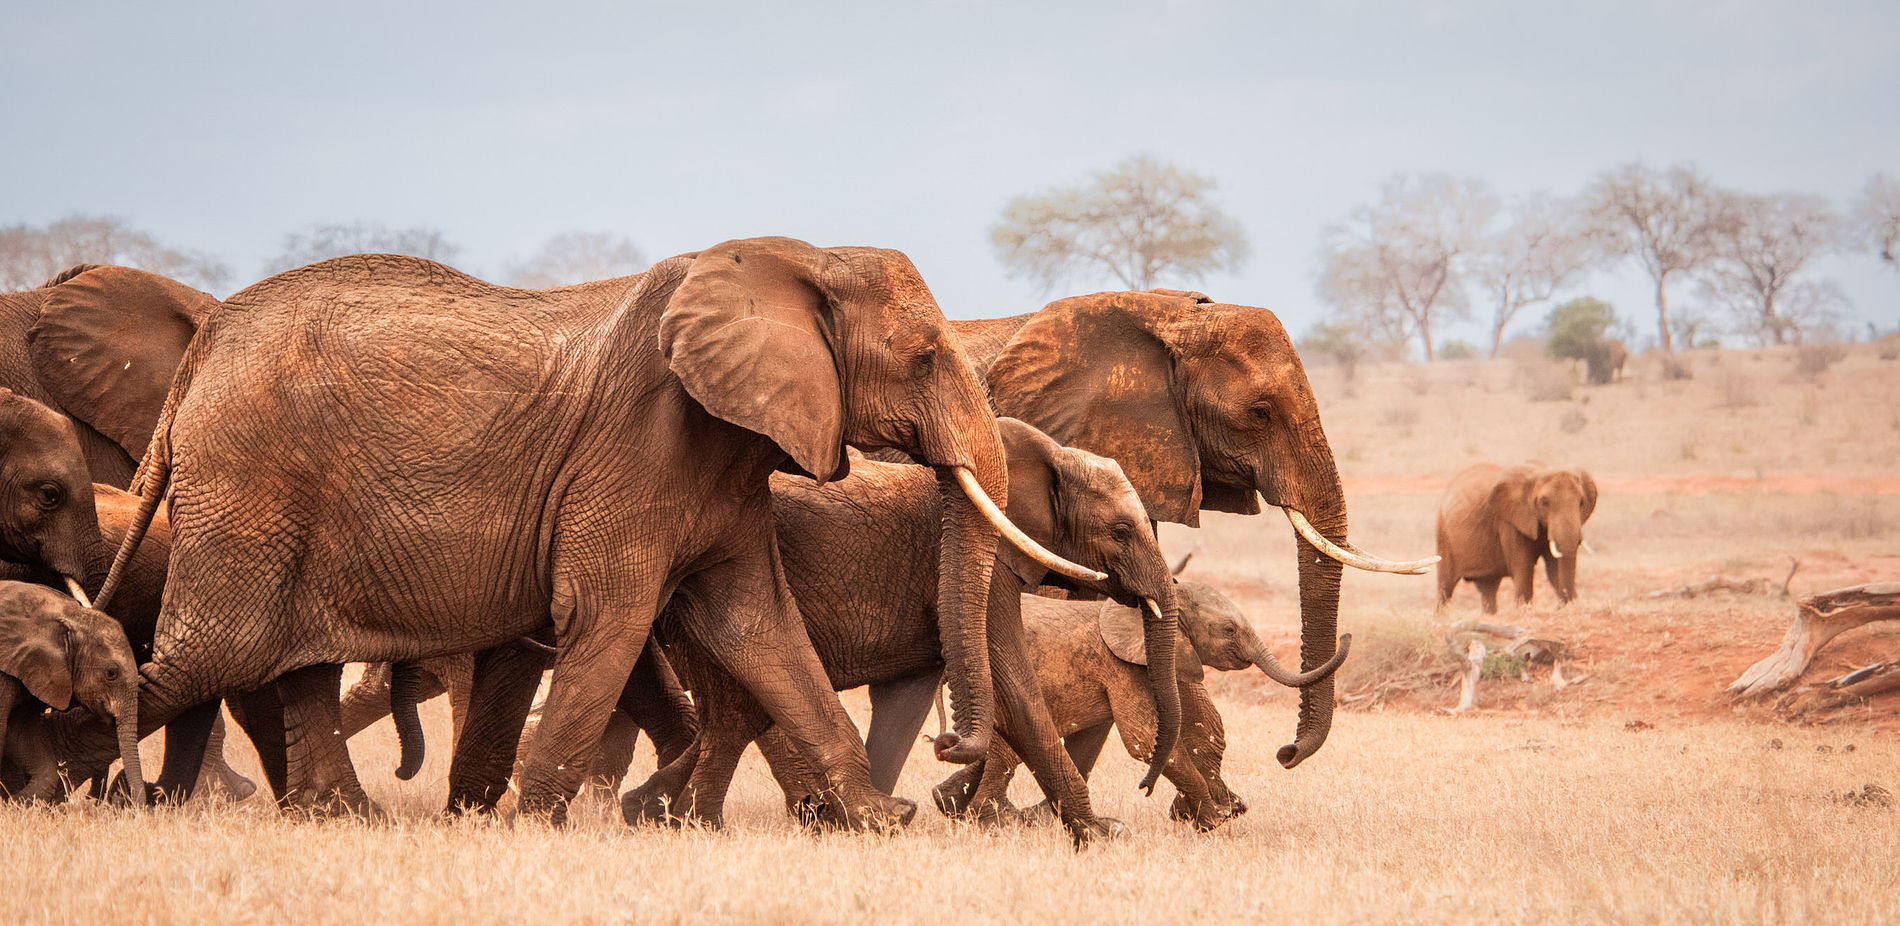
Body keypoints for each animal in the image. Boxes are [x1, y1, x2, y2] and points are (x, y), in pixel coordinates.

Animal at [72, 237, 1094, 826]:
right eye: (921, 357)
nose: (950, 755)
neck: (791, 258)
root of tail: (203, 351)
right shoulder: (638, 449)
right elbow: (607, 616)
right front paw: (532, 824)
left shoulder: (721, 461)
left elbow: (757, 626)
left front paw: (883, 823)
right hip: (248, 485)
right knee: (212, 652)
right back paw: (70, 780)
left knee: (289, 662)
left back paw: (337, 818)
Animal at [622, 418, 1194, 843]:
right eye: (1120, 531)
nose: (1145, 788)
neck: (1045, 453)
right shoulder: (986, 568)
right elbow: (1013, 689)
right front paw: (1104, 833)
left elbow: (905, 700)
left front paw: (850, 823)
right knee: (738, 706)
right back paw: (692, 820)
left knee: (734, 711)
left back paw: (650, 812)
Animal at [937, 578, 1347, 831]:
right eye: (1229, 630)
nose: (1285, 752)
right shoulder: (1121, 665)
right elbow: (1146, 740)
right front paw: (1213, 820)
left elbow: (1200, 728)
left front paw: (1225, 810)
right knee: (1007, 752)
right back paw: (994, 822)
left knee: (1002, 750)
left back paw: (959, 806)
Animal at [1436, 462, 1599, 613]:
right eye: (1544, 502)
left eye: (1581, 502)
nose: (1561, 605)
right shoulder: (1510, 520)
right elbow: (1523, 565)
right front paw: (1524, 611)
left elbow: (1554, 568)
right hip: (1443, 533)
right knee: (1445, 587)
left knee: (1488, 587)